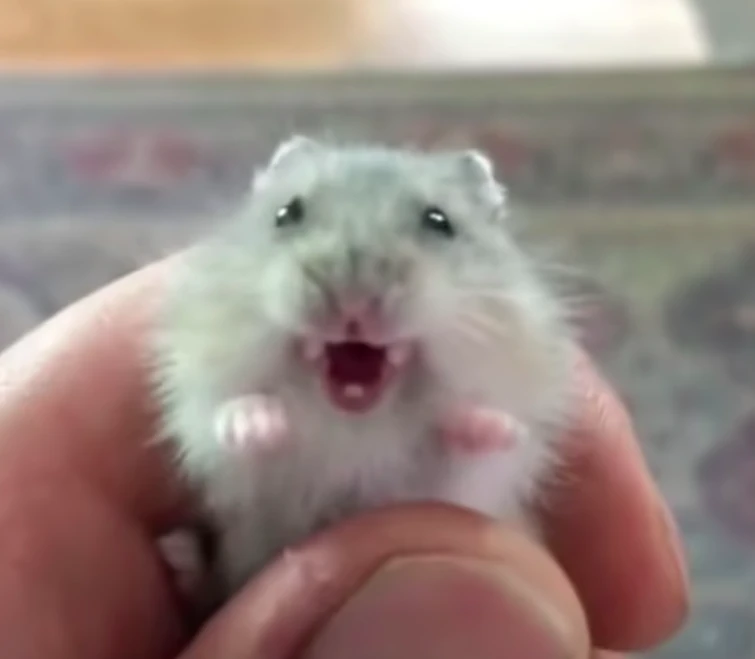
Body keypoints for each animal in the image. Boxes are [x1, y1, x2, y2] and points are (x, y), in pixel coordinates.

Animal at [151, 135, 577, 611]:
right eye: (286, 213)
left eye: (440, 221)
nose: (352, 297)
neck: (356, 421)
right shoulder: (223, 451)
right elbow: (229, 418)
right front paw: (260, 424)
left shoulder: (464, 487)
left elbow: (475, 446)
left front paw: (491, 427)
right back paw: (179, 555)